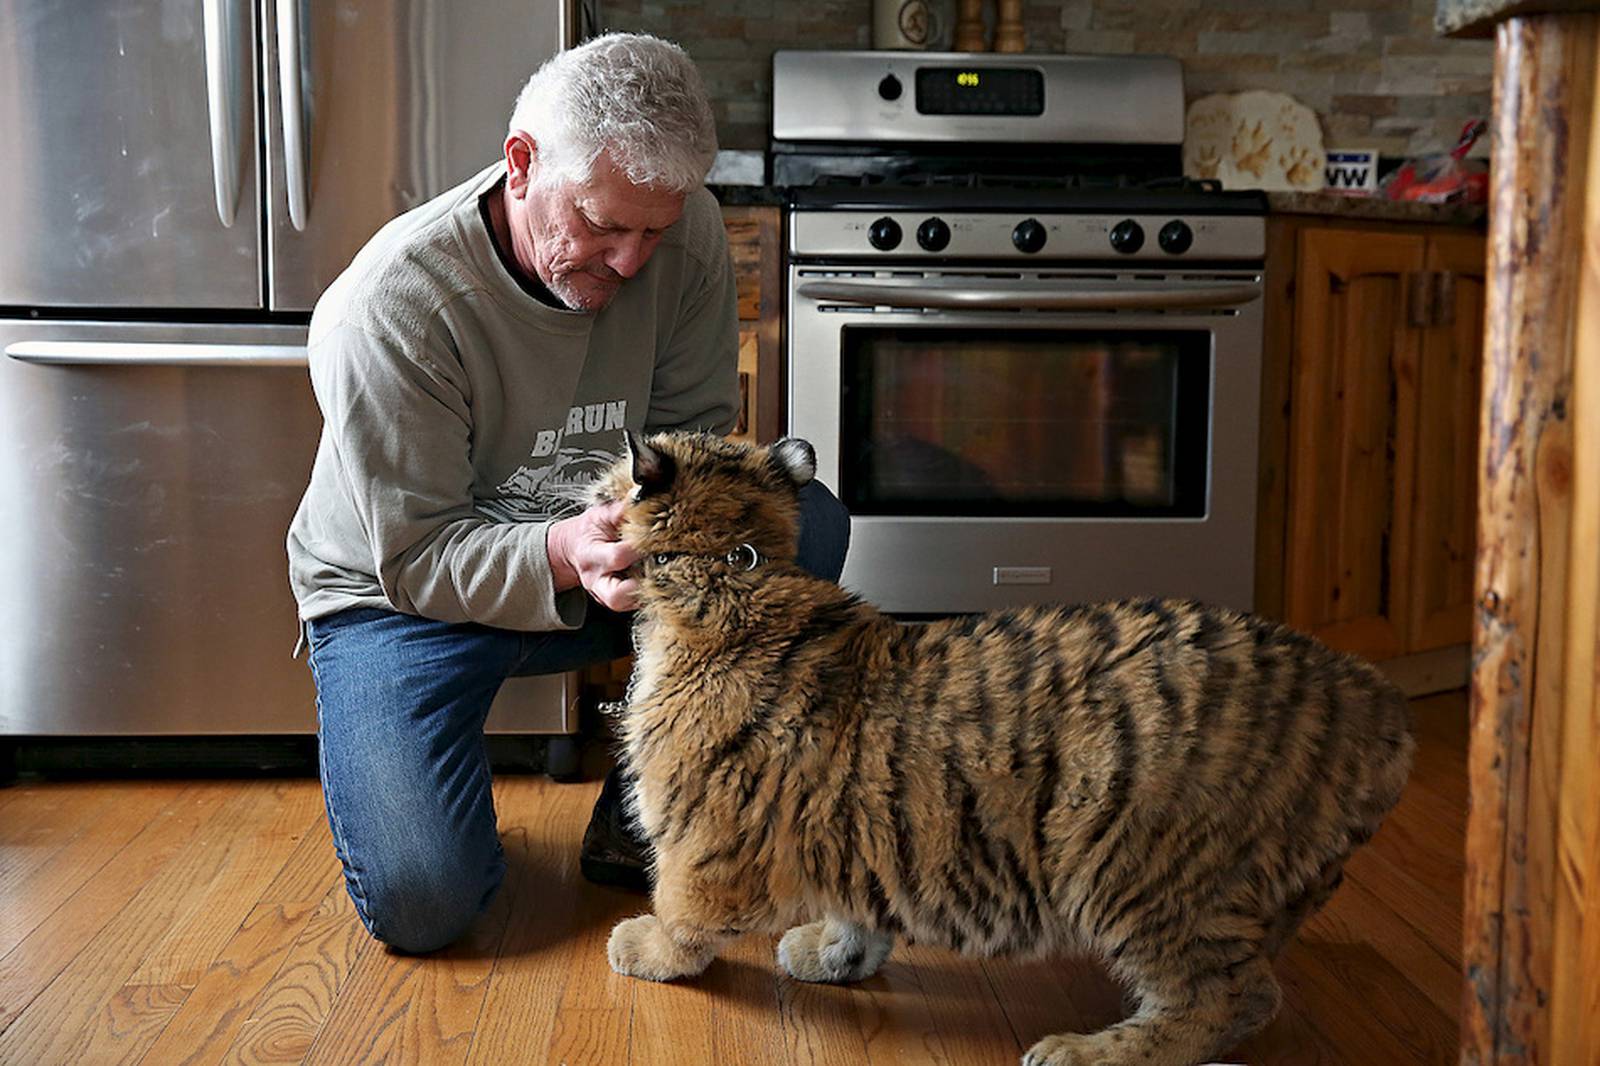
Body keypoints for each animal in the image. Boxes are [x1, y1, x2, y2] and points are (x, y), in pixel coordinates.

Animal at [597, 430, 1413, 1066]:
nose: (587, 490)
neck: (731, 565)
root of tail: (1372, 699)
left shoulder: (706, 836)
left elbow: (682, 908)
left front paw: (645, 949)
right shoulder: (862, 820)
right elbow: (860, 905)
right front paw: (832, 952)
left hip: (1142, 867)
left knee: (1230, 999)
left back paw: (1079, 1053)